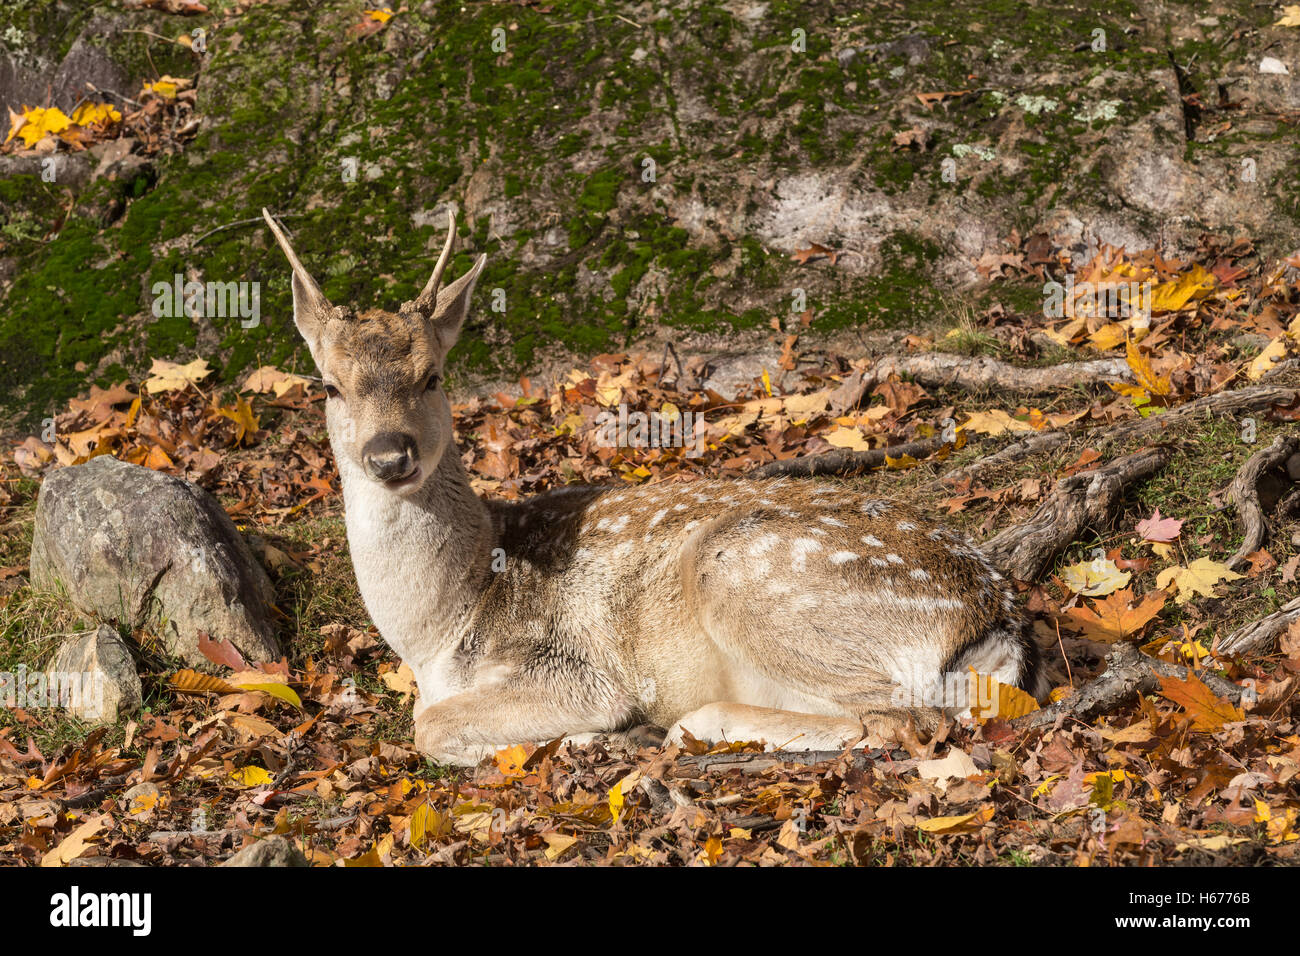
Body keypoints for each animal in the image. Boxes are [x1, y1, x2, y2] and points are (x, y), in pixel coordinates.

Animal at [262, 208, 1048, 766]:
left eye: (432, 376)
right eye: (328, 386)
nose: (389, 455)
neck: (441, 631)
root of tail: (996, 621)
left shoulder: (570, 669)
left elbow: (427, 728)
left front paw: (592, 738)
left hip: (754, 578)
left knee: (906, 719)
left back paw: (684, 728)